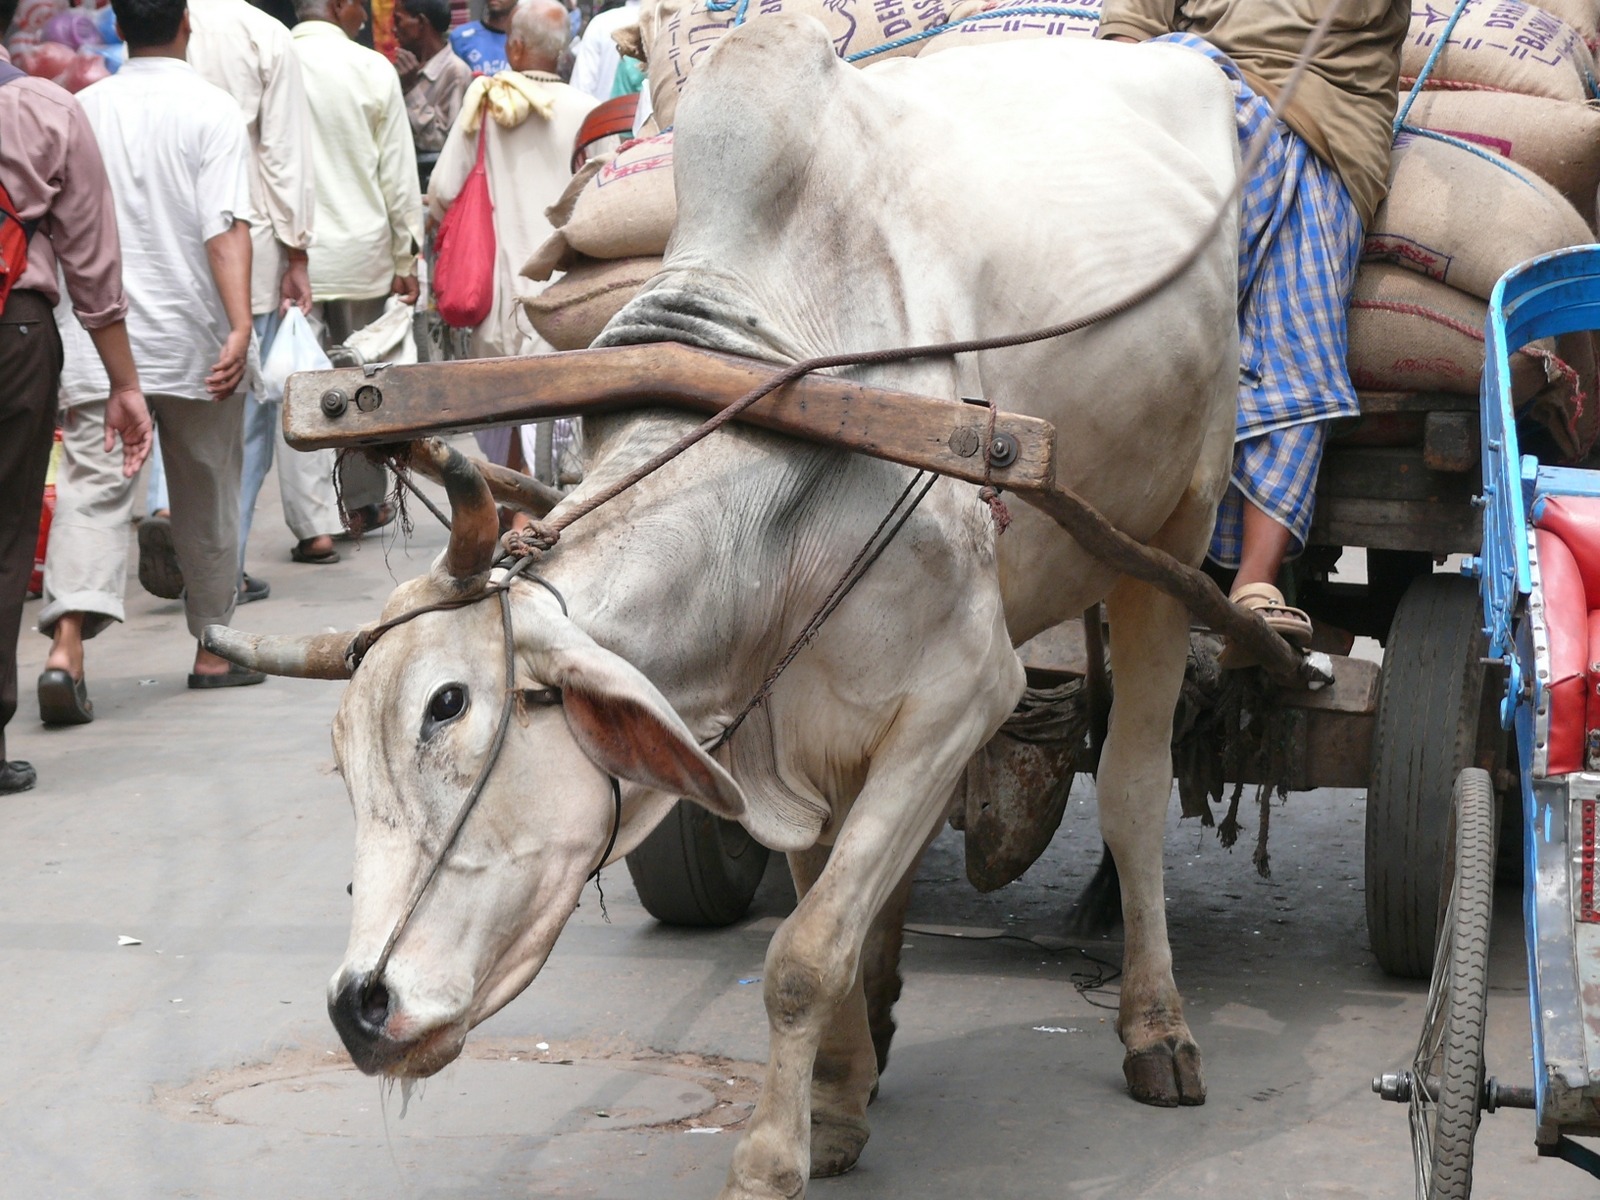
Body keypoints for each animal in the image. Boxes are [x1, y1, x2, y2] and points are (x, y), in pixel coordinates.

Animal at [207, 18, 1241, 1197]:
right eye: (341, 760)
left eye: (448, 708)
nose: (360, 1008)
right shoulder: (788, 729)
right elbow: (829, 900)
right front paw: (833, 1101)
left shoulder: (969, 687)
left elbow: (803, 953)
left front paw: (768, 1155)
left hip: (1172, 534)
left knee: (1132, 791)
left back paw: (1156, 1028)